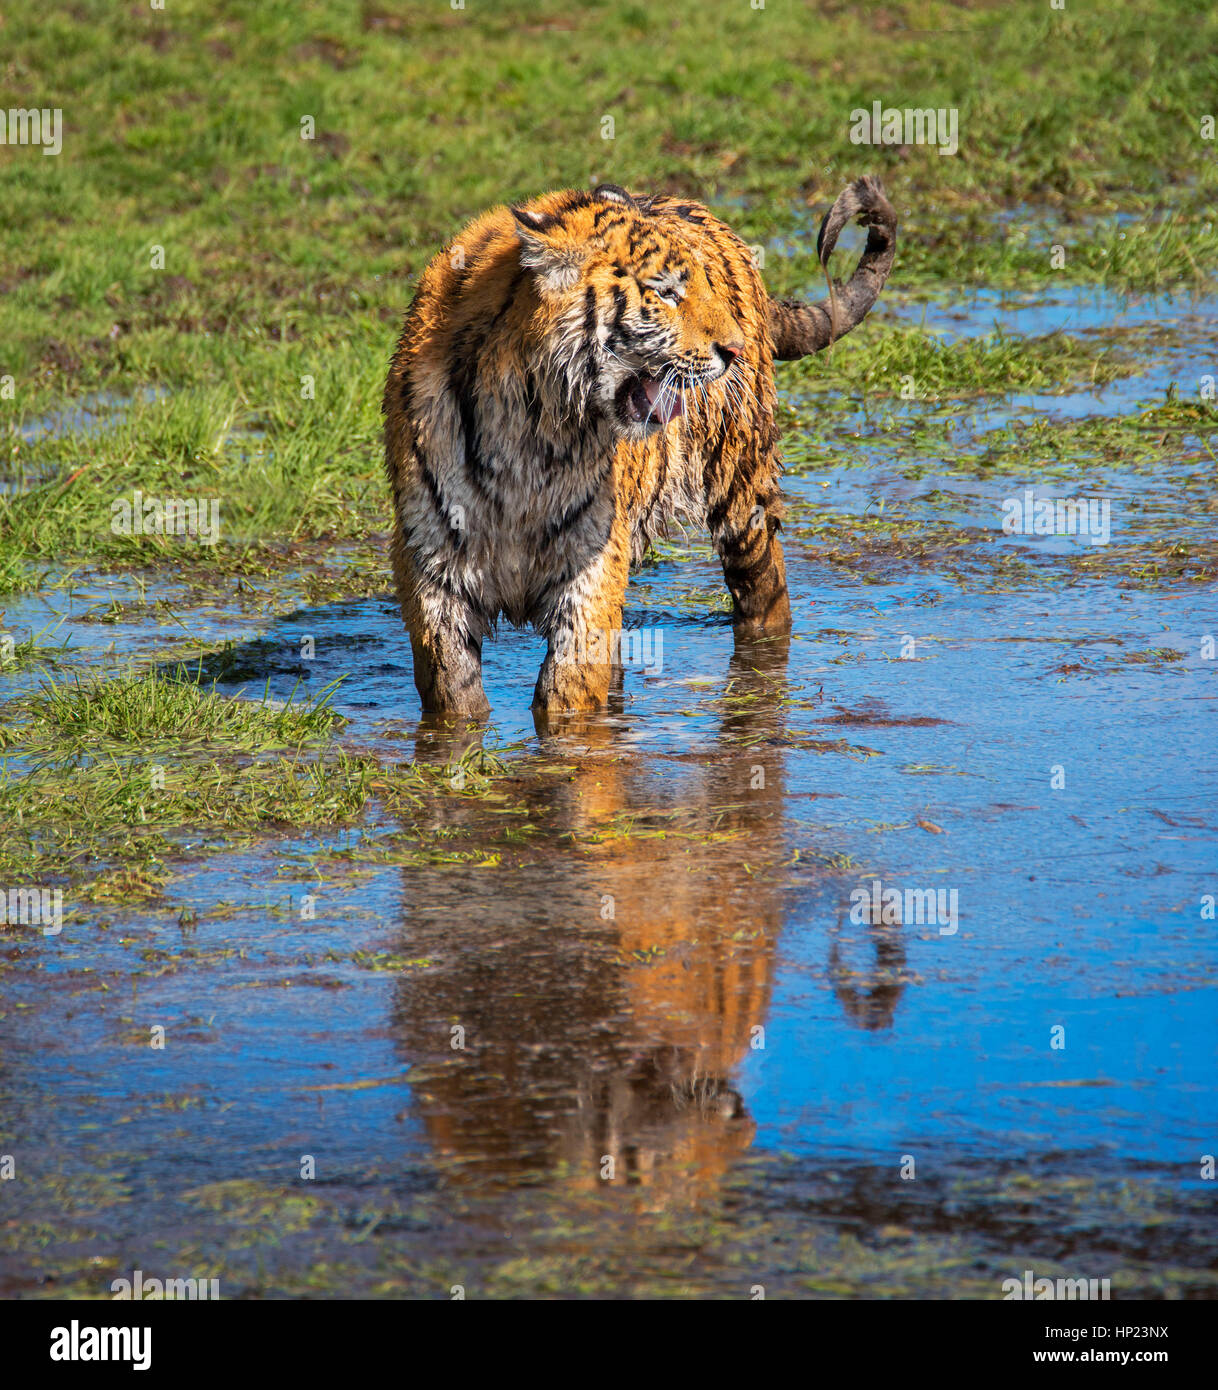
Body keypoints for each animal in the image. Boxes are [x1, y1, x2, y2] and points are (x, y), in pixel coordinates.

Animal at [382, 175, 896, 718]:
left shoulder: (589, 570)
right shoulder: (433, 567)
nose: (733, 349)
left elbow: (567, 695)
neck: (534, 424)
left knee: (767, 595)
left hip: (743, 493)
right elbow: (453, 694)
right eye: (667, 291)